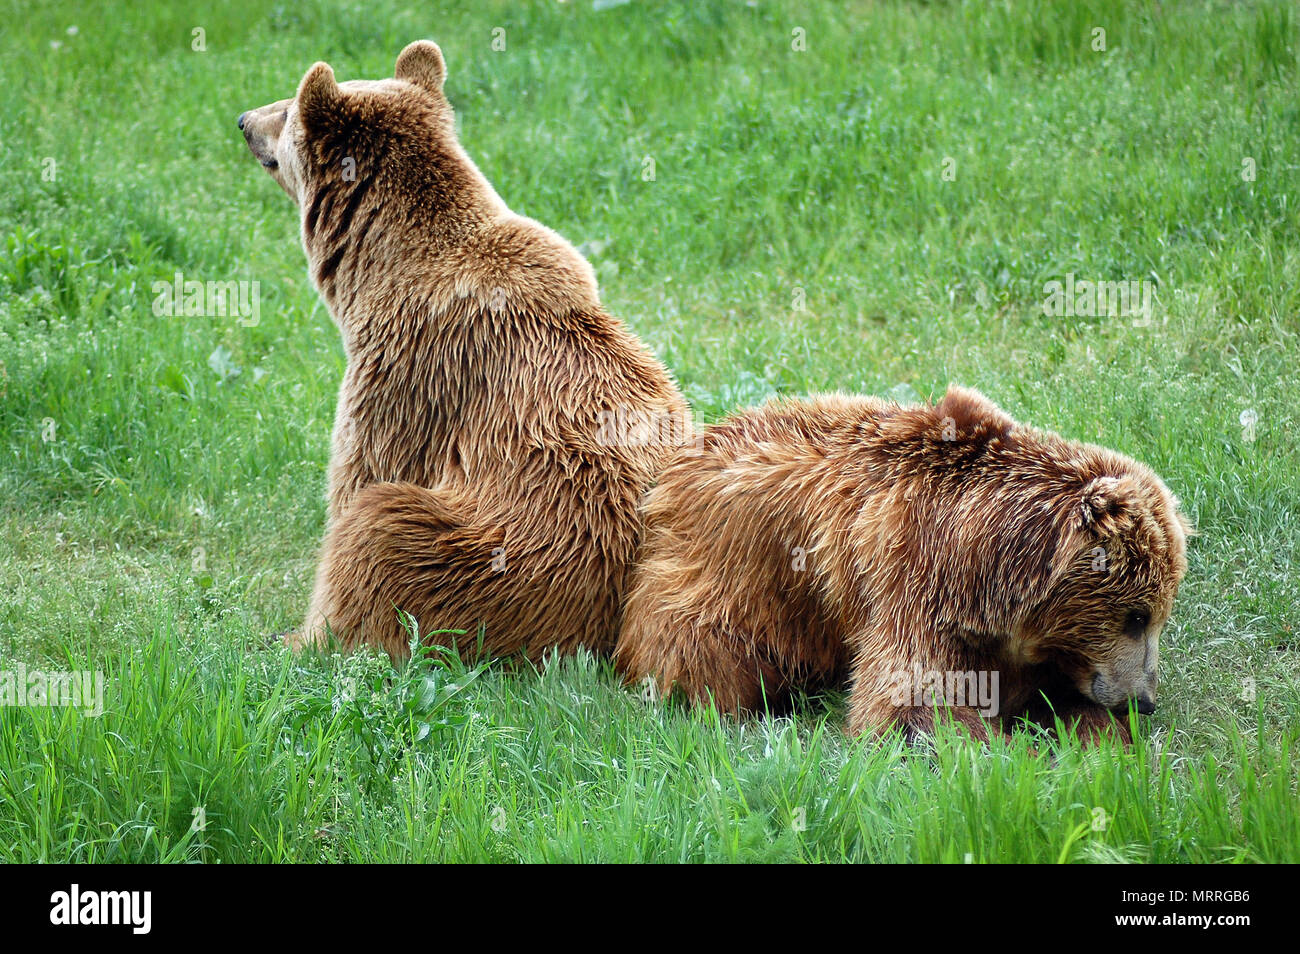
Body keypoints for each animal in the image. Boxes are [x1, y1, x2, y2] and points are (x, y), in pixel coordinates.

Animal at [238, 40, 689, 661]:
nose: (243, 119)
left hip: (497, 563)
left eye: (285, 110)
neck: (374, 271)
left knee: (381, 526)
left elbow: (361, 476)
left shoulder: (407, 370)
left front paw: (303, 631)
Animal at [614, 385, 1190, 746]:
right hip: (725, 583)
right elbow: (910, 703)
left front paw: (1093, 734)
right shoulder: (913, 584)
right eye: (1136, 616)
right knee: (706, 658)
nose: (1143, 701)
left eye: (1157, 615)